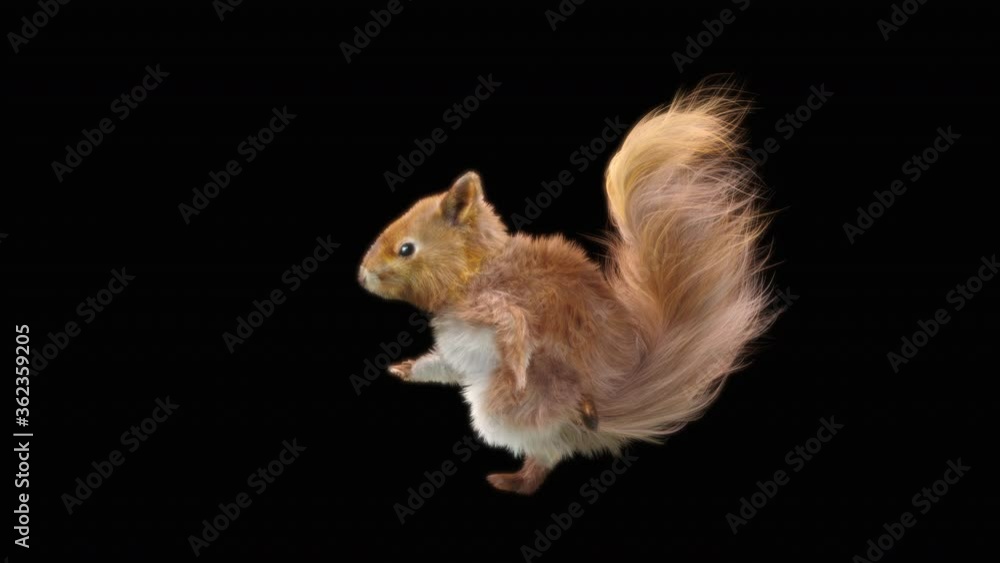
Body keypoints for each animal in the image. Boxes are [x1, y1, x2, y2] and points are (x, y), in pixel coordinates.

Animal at [358, 82, 775, 495]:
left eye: (406, 249)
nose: (362, 276)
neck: (474, 273)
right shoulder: (456, 353)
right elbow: (441, 365)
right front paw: (404, 368)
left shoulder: (498, 304)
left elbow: (516, 331)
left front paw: (517, 373)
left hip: (516, 409)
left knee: (546, 452)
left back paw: (516, 480)